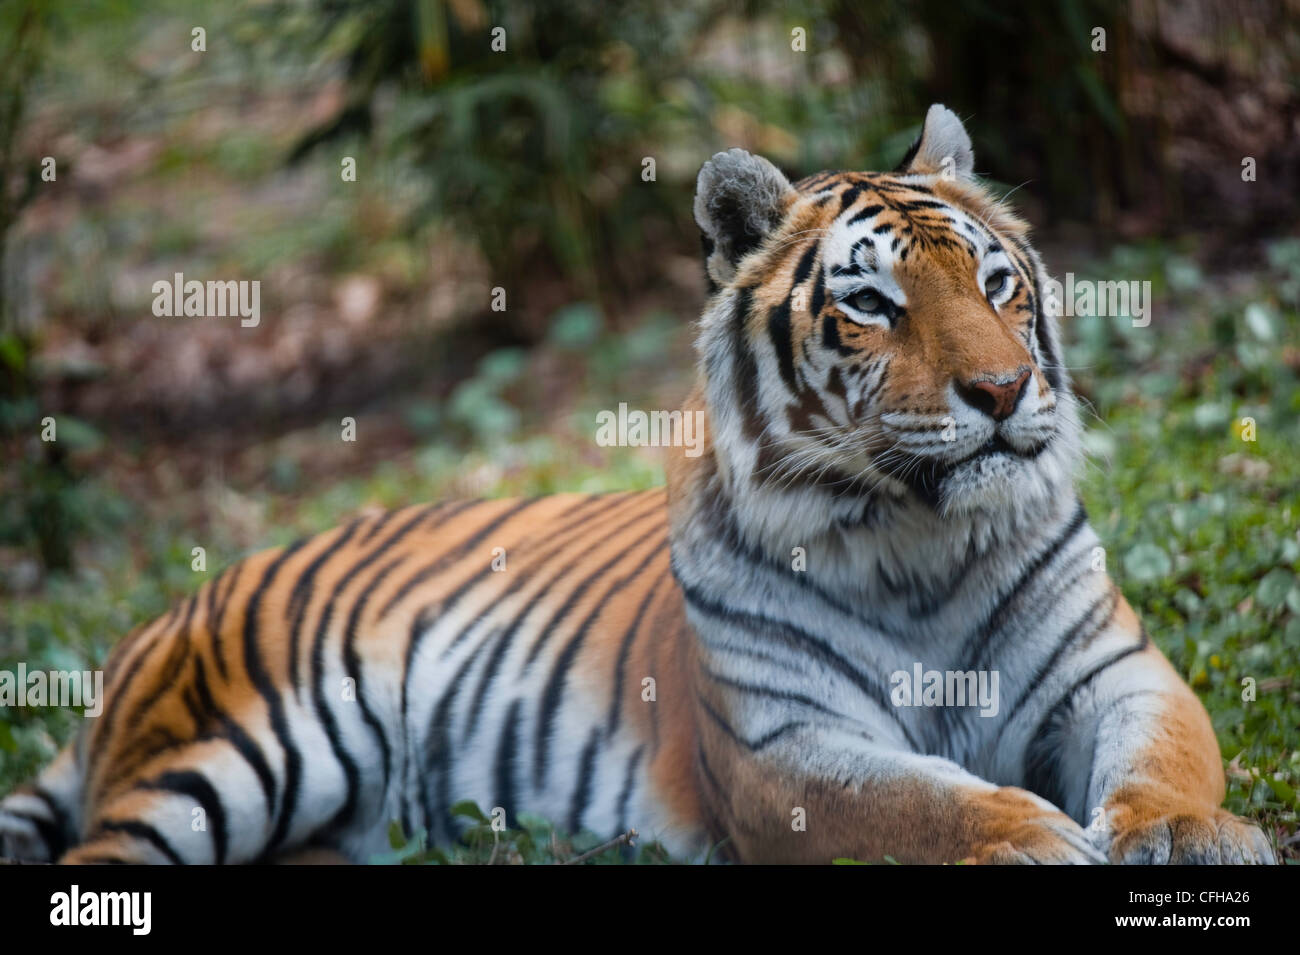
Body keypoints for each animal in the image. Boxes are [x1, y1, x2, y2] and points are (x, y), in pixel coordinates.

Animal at [0, 104, 1276, 865]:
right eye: (872, 303)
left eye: (996, 282)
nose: (1005, 392)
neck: (919, 538)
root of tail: (170, 610)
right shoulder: (783, 745)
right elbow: (922, 801)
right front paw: (1029, 840)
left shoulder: (1115, 669)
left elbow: (1165, 757)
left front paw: (1186, 837)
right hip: (225, 755)